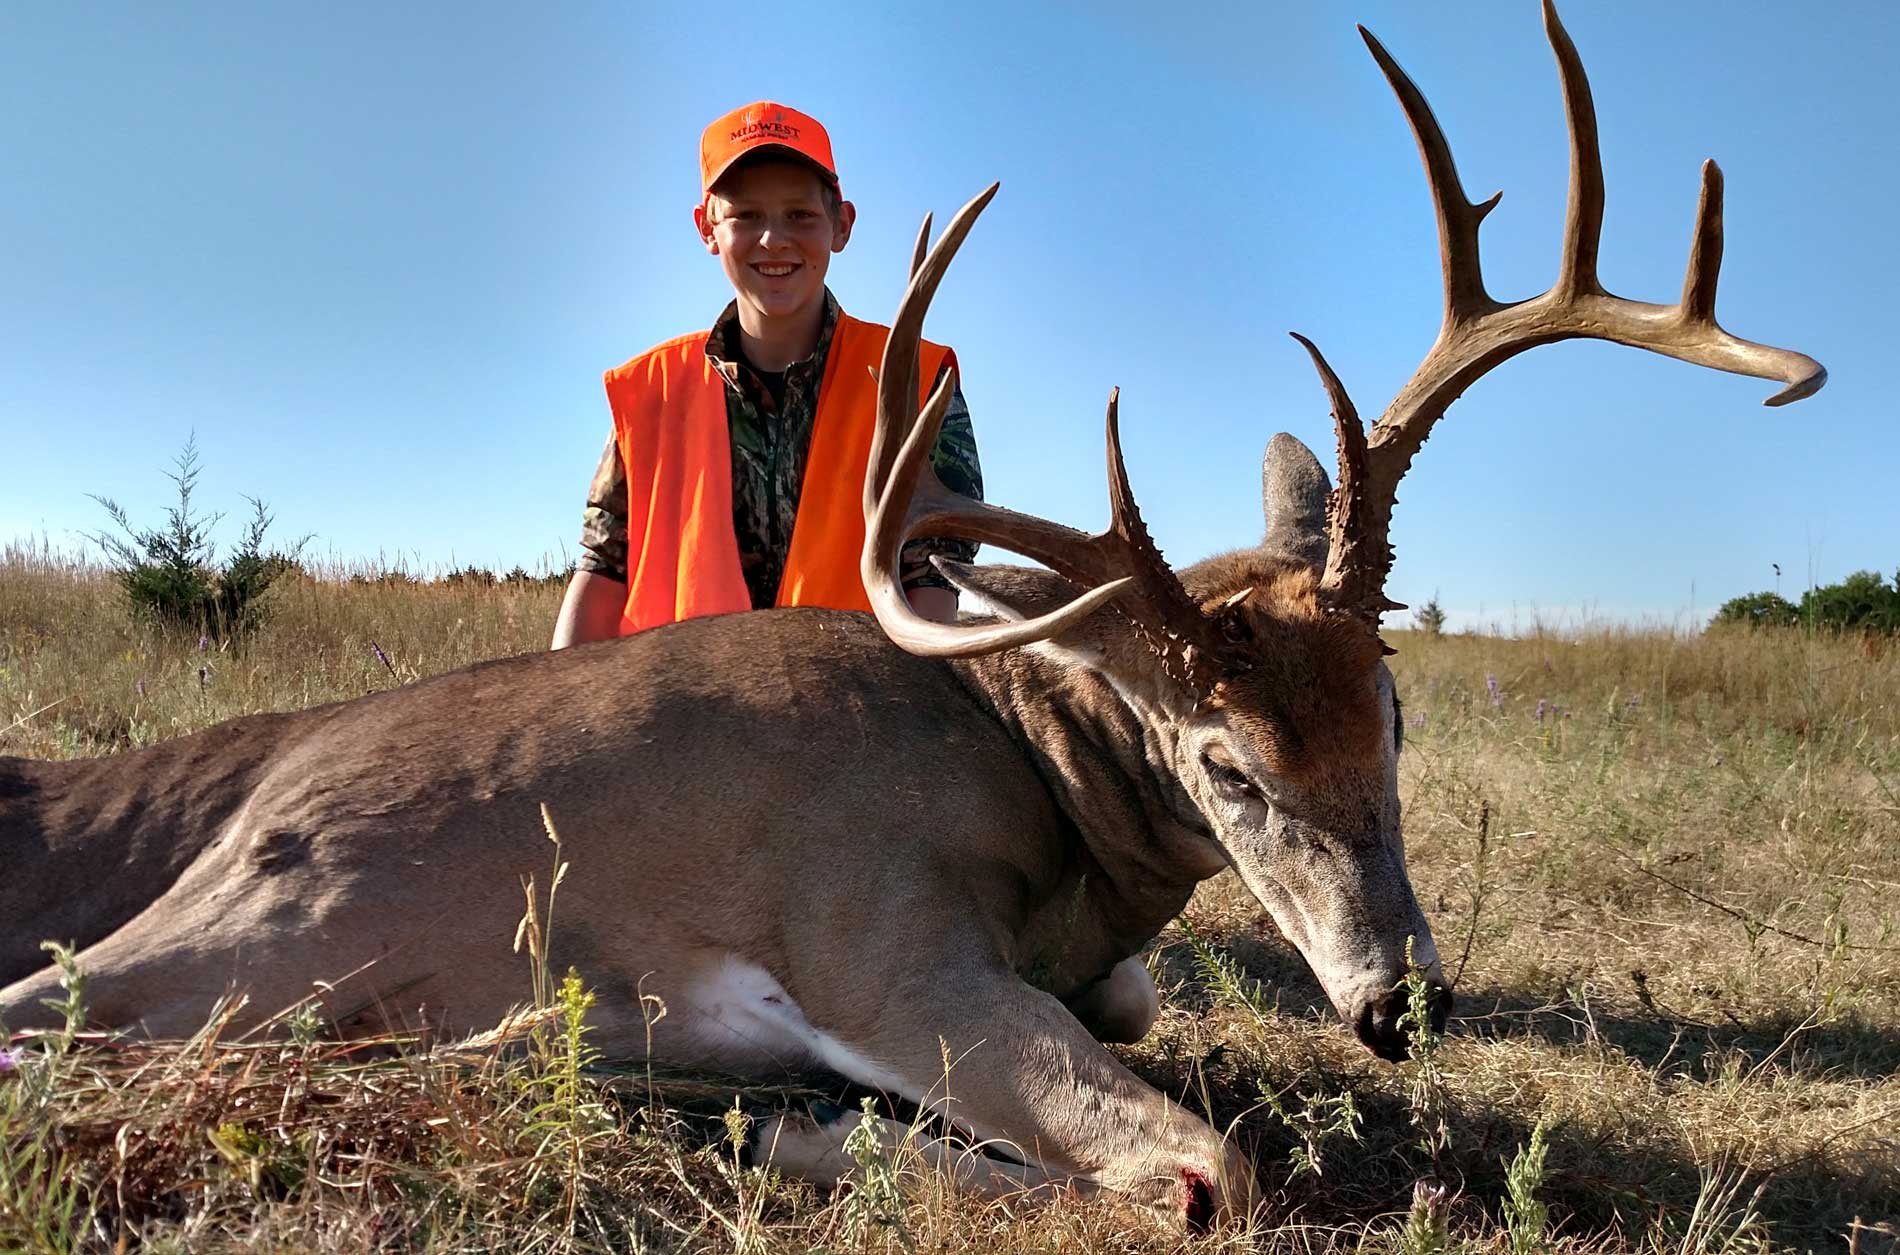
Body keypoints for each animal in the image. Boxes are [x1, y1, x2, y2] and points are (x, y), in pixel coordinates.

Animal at [0, 2, 1823, 1231]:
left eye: (1393, 707)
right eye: (1223, 766)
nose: (1403, 1004)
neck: (1030, 771)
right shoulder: (885, 941)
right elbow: (1201, 1173)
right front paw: (815, 1127)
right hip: (299, 909)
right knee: (56, 1038)